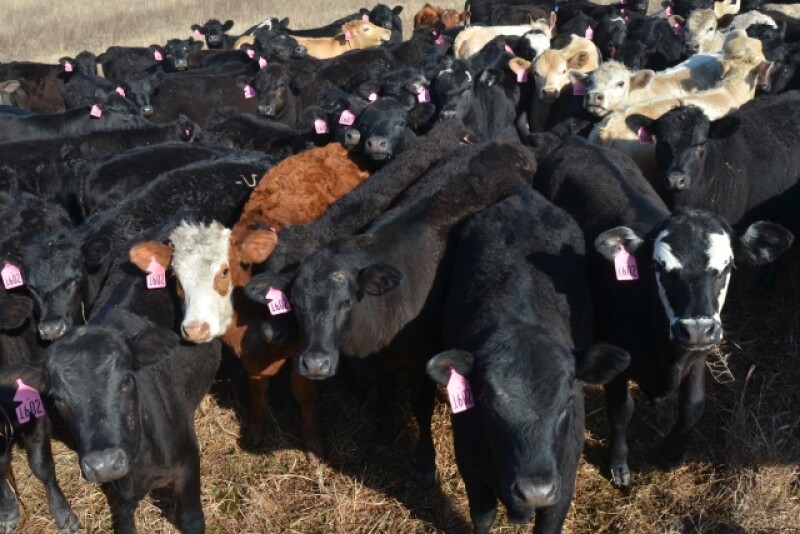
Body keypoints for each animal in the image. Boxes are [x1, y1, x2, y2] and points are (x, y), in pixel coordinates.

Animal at [128, 143, 372, 456]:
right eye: (174, 275)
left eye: (224, 271)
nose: (196, 329)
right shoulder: (252, 357)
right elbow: (257, 387)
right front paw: (256, 428)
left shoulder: (310, 344)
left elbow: (304, 392)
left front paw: (313, 440)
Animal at [244, 132, 537, 486]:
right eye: (294, 301)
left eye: (346, 301)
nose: (314, 364)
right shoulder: (378, 361)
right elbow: (385, 394)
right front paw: (384, 437)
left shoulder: (425, 354)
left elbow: (420, 405)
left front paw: (425, 462)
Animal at [427, 187, 630, 534]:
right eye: (488, 403)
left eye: (567, 402)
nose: (535, 491)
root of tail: (525, 195)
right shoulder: (470, 467)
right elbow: (483, 517)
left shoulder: (564, 481)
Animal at [534, 136, 793, 487]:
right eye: (659, 267)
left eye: (727, 267)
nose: (695, 327)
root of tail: (574, 141)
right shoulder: (618, 357)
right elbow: (621, 410)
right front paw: (618, 465)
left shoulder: (698, 354)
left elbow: (693, 406)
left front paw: (670, 456)